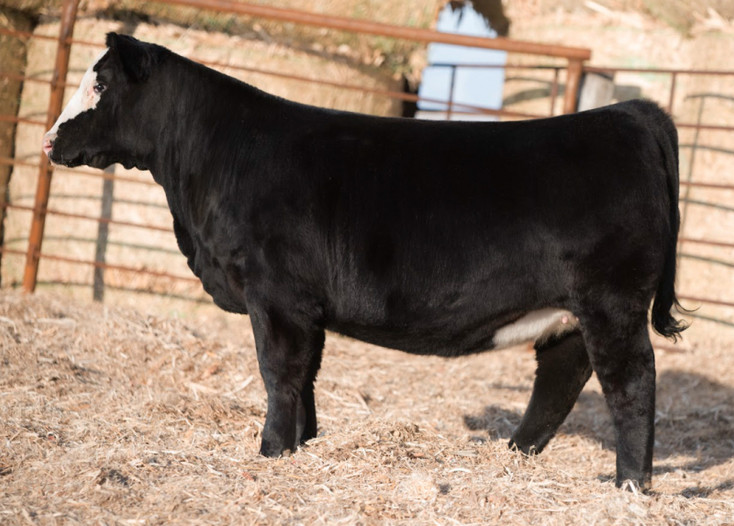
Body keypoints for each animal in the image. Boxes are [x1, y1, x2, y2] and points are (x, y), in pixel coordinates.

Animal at [43, 33, 685, 490]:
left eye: (99, 83)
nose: (49, 142)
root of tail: (627, 113)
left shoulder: (276, 294)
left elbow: (279, 372)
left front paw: (271, 451)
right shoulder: (304, 307)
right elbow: (306, 376)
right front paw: (303, 445)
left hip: (612, 302)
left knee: (631, 382)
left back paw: (630, 485)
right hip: (572, 313)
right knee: (560, 379)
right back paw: (514, 457)